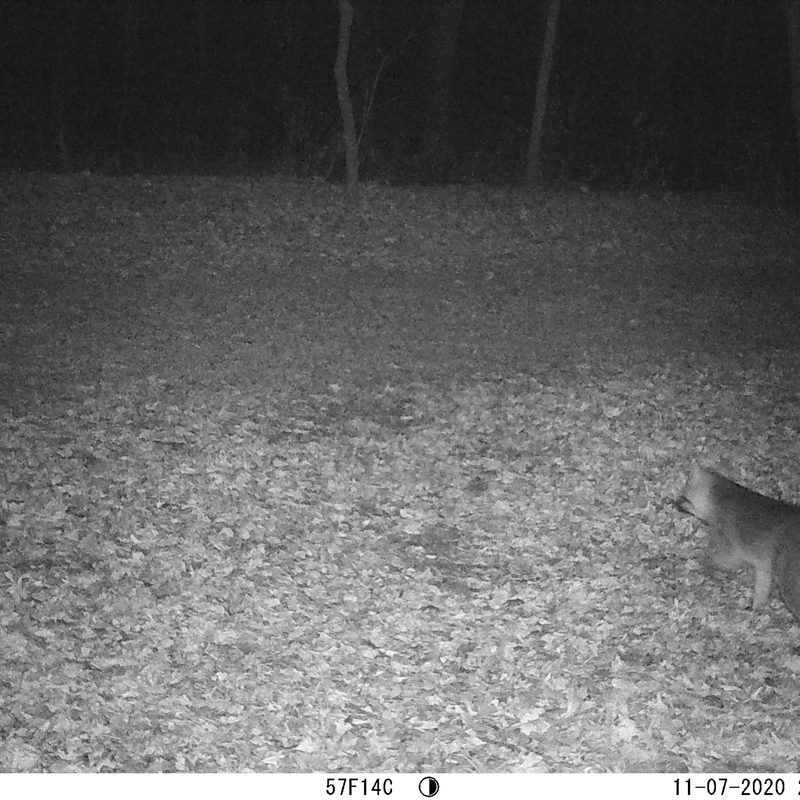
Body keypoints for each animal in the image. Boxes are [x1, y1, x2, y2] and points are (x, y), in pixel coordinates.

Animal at [676, 466, 800, 618]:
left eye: (683, 494)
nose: (674, 502)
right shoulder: (763, 567)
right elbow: (761, 589)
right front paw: (756, 609)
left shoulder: (729, 546)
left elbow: (709, 557)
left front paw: (693, 557)